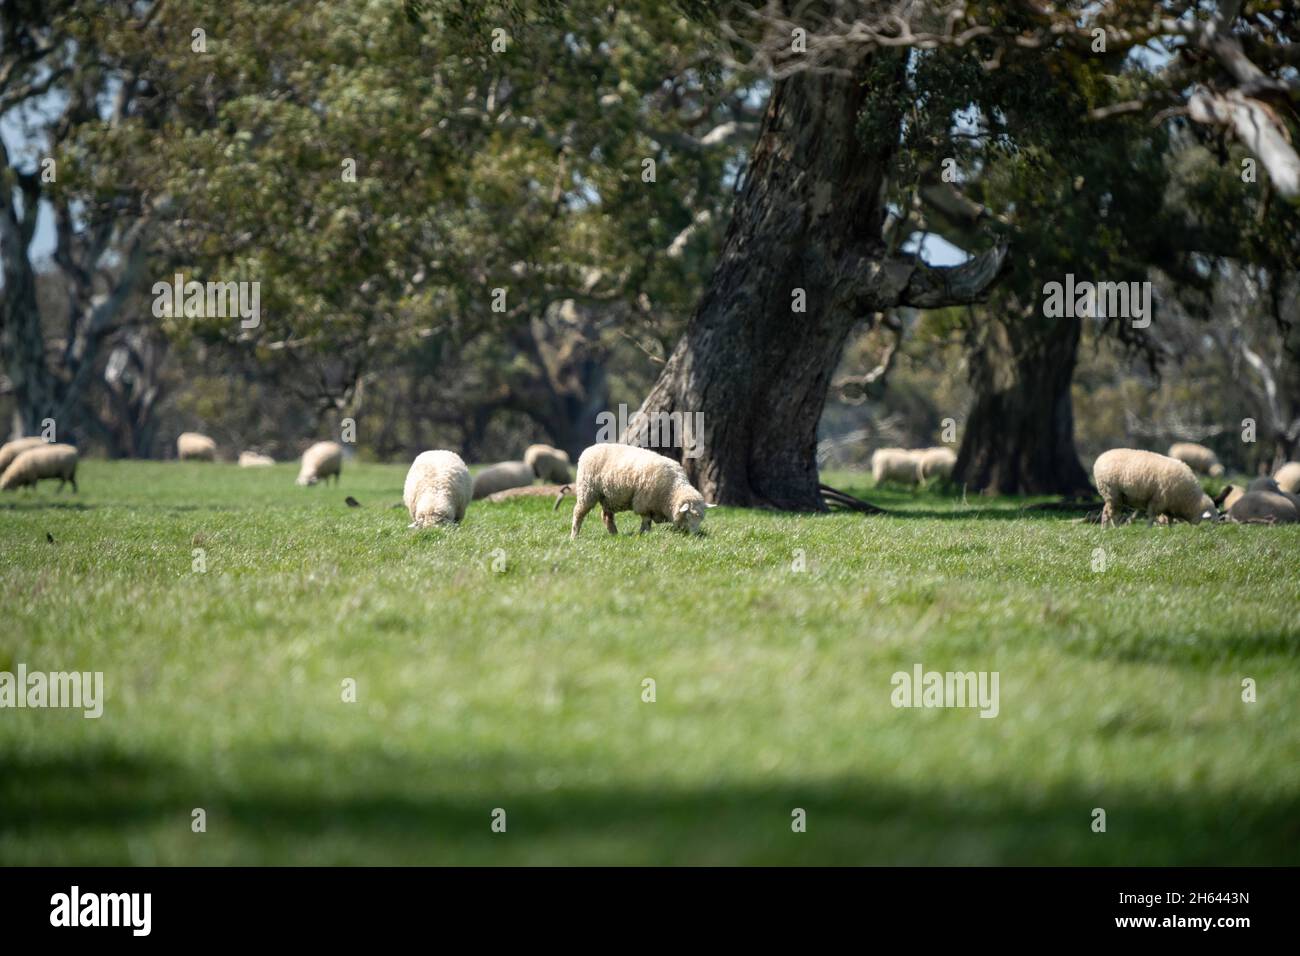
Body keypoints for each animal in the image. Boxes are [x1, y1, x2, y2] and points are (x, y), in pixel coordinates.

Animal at [570, 443, 708, 538]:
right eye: (689, 516)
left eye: (701, 518)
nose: (696, 535)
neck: (672, 489)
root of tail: (589, 449)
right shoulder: (644, 503)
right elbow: (646, 521)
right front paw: (643, 534)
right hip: (587, 491)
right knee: (578, 513)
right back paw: (574, 536)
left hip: (608, 497)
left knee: (606, 517)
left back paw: (615, 535)